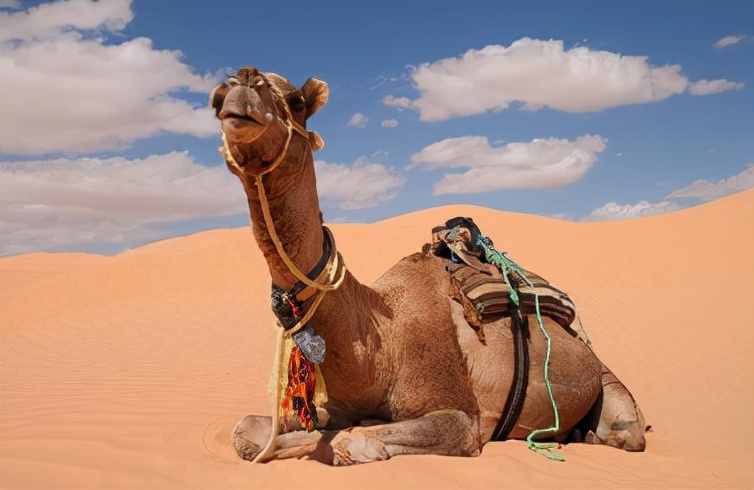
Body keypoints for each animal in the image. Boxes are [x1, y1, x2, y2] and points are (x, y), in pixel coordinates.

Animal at [210, 66, 647, 465]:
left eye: (296, 102)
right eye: (217, 98)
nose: (240, 82)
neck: (383, 344)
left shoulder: (460, 417)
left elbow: (353, 441)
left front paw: (353, 435)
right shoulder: (338, 405)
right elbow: (246, 430)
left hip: (607, 386)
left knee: (625, 432)